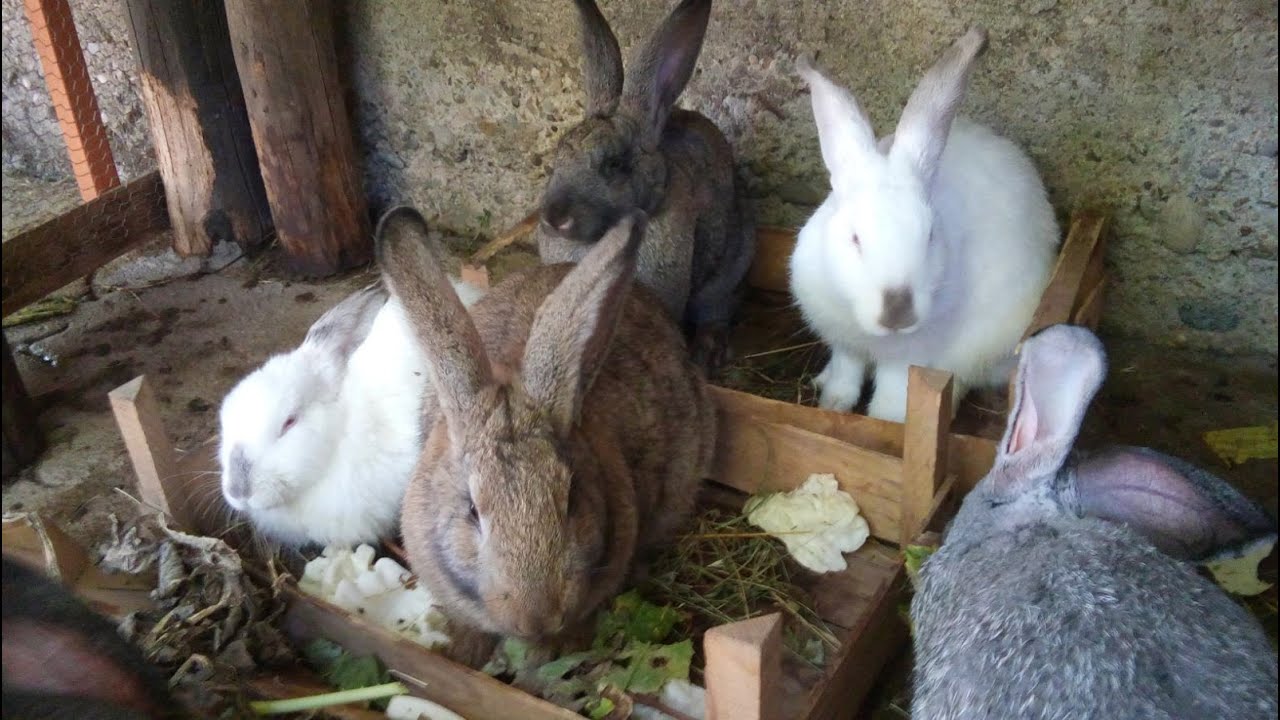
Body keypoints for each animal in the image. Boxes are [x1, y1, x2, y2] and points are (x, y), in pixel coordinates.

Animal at [790, 27, 1060, 423]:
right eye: (855, 239)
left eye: (930, 235)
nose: (897, 311)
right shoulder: (844, 343)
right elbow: (845, 371)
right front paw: (834, 404)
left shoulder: (912, 356)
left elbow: (894, 390)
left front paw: (885, 421)